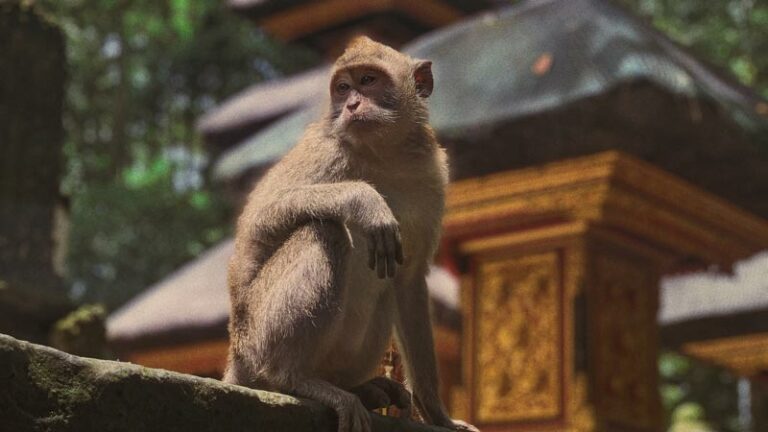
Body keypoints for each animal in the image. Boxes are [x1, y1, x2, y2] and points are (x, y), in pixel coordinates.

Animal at [223, 36, 478, 432]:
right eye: (343, 88)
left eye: (368, 80)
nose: (352, 104)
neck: (386, 154)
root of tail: (236, 352)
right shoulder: (323, 152)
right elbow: (260, 218)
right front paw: (363, 200)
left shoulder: (433, 176)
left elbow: (409, 281)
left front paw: (438, 414)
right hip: (257, 336)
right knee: (322, 230)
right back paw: (293, 379)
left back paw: (364, 388)